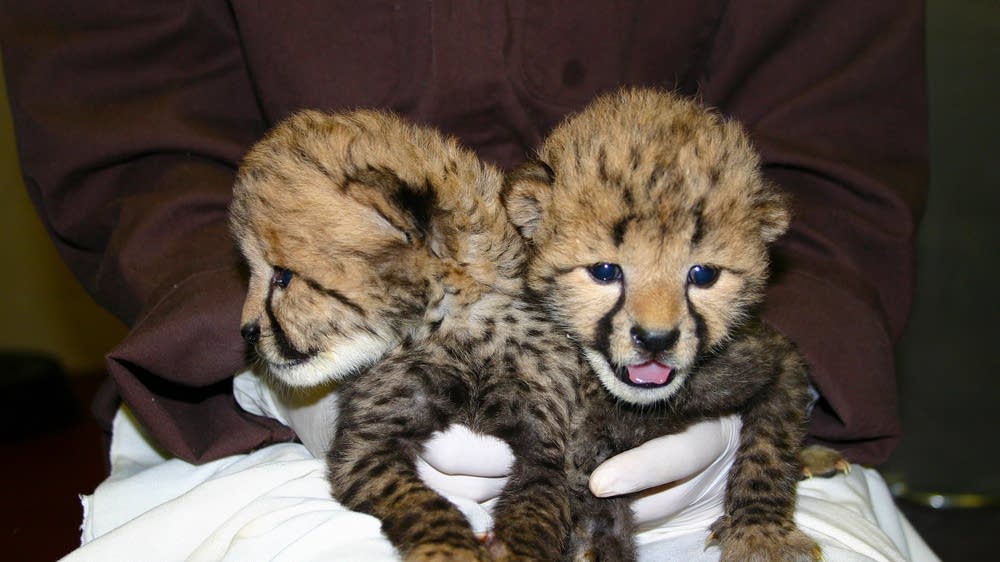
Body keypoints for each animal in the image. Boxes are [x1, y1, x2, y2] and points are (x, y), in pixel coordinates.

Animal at [230, 109, 587, 561]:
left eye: (284, 277)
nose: (247, 332)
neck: (457, 327)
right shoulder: (367, 446)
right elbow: (421, 503)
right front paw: (450, 550)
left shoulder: (545, 448)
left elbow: (534, 515)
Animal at [504, 88, 847, 562]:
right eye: (606, 271)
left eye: (702, 274)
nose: (655, 339)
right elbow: (585, 495)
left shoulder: (773, 360)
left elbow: (769, 446)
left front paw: (762, 534)